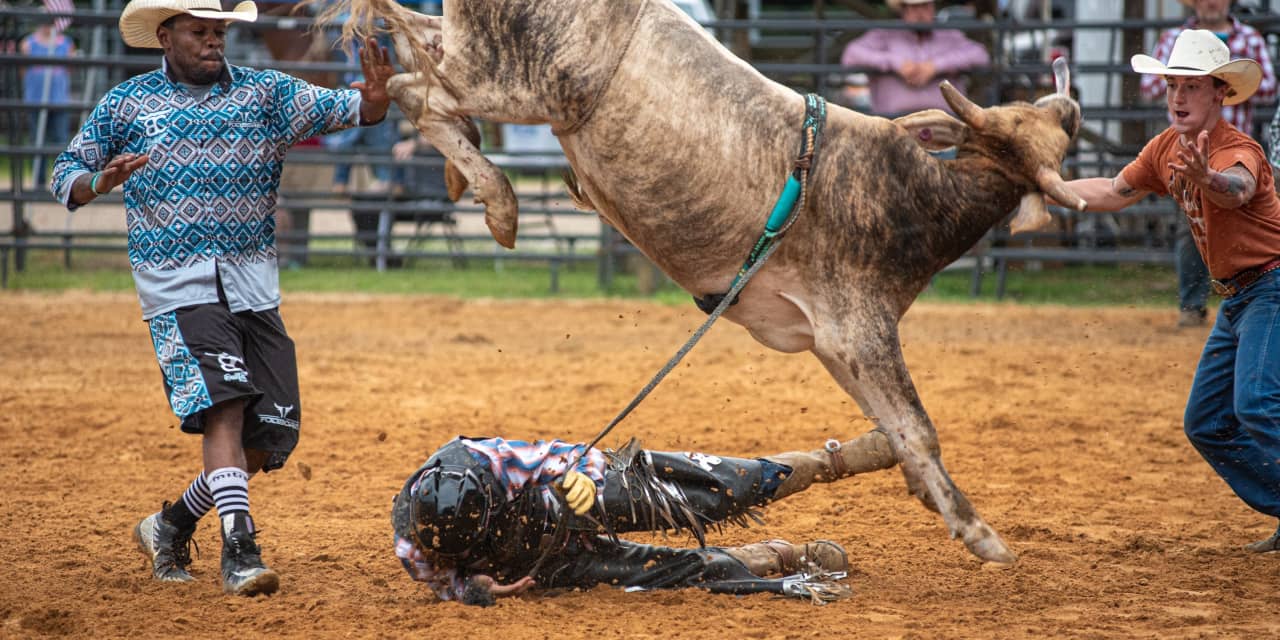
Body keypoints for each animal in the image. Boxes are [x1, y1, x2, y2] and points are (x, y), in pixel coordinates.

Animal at [321, 0, 1087, 564]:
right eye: (1013, 129)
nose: (1068, 104)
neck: (916, 198)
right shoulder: (859, 327)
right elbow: (919, 429)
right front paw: (983, 538)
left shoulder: (830, 342)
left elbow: (895, 430)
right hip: (515, 81)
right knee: (420, 92)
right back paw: (499, 199)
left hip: (478, 54)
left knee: (417, 56)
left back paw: (473, 179)